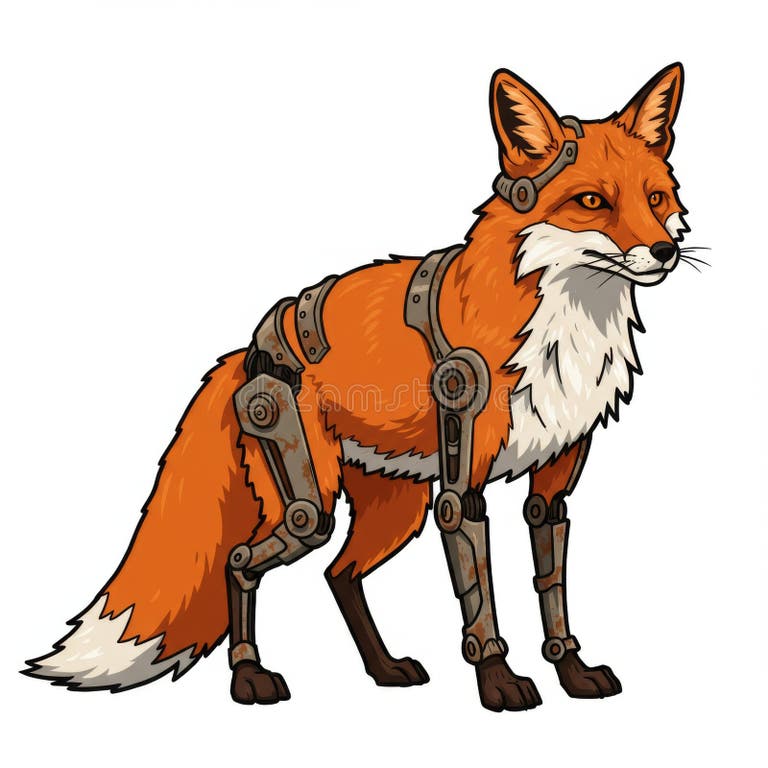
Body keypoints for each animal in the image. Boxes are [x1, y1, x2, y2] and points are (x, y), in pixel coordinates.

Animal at [25, 63, 693, 712]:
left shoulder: (553, 476)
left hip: (394, 509)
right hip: (311, 503)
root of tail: (241, 356)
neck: (562, 328)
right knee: (244, 561)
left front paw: (573, 673)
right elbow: (479, 596)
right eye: (592, 202)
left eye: (656, 198)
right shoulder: (463, 485)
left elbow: (550, 584)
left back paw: (384, 670)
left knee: (339, 574)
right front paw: (498, 683)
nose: (666, 250)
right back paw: (249, 677)